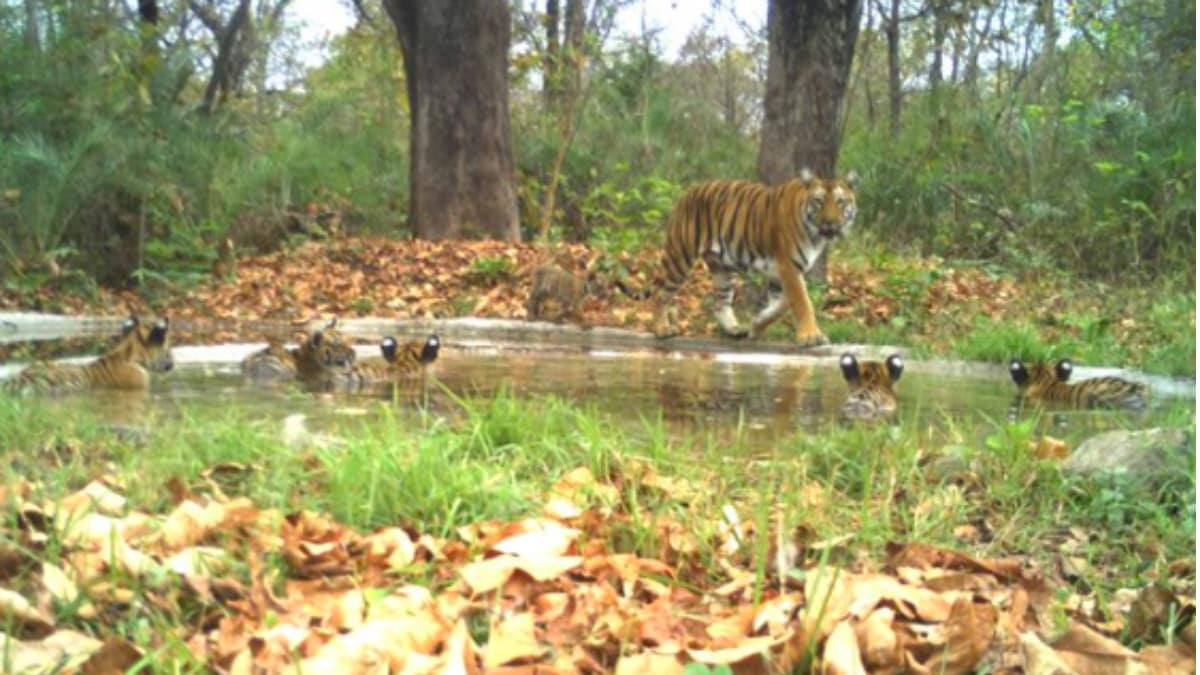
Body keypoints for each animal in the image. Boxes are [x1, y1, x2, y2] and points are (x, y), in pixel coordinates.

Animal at [651, 168, 859, 346]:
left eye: (840, 202)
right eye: (819, 201)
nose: (830, 222)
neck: (815, 235)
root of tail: (690, 191)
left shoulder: (781, 274)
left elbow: (780, 306)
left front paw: (757, 325)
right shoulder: (788, 267)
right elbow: (802, 302)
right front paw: (810, 336)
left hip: (723, 268)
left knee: (720, 303)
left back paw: (735, 329)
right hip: (680, 258)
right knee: (659, 296)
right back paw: (662, 329)